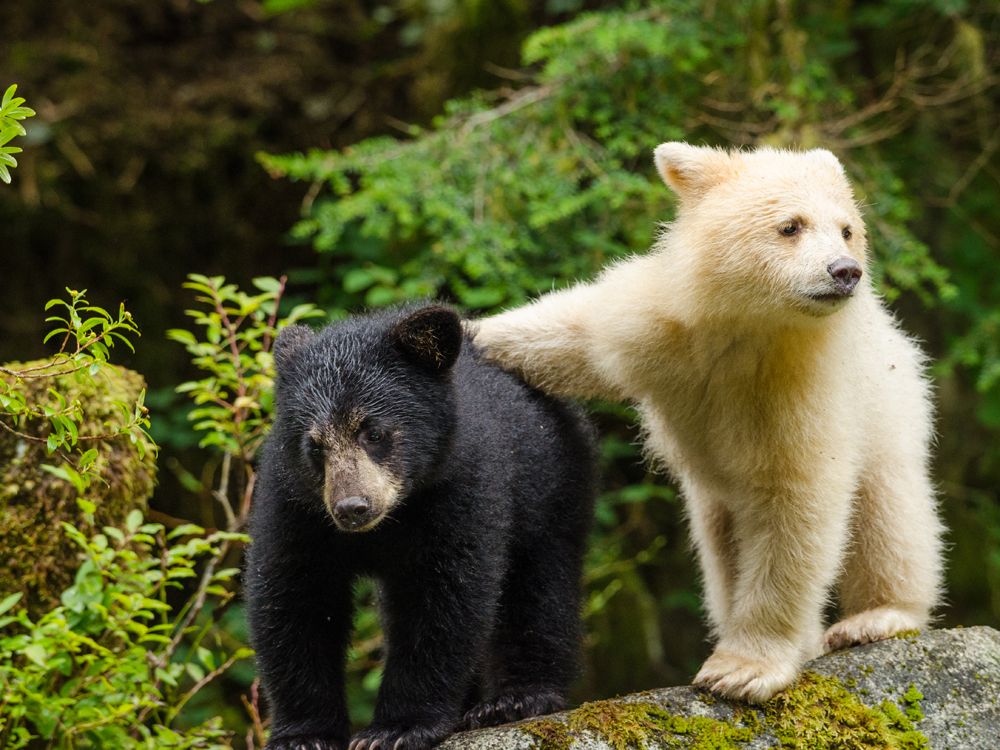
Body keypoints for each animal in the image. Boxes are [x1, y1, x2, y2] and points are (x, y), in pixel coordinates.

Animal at [244, 304, 596, 750]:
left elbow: (443, 597)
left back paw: (516, 699)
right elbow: (295, 599)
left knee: (539, 587)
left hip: (551, 486)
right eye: (315, 446)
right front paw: (304, 734)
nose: (351, 508)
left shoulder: (460, 486)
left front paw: (397, 728)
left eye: (374, 432)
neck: (393, 518)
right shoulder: (295, 506)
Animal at [472, 143, 944, 703]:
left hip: (889, 403)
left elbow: (796, 501)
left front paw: (742, 669)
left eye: (847, 229)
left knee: (887, 507)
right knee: (721, 548)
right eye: (791, 226)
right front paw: (465, 332)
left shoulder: (801, 387)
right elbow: (571, 332)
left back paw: (877, 617)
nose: (845, 270)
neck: (745, 329)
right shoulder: (663, 324)